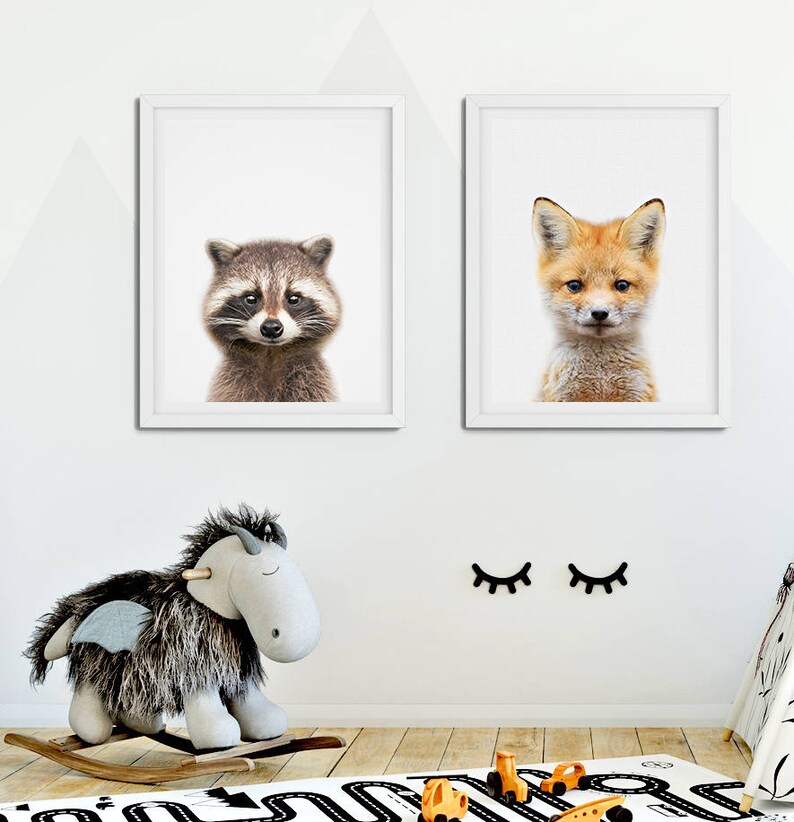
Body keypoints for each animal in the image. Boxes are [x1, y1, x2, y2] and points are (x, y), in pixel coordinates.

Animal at [203, 235, 342, 402]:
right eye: (251, 298)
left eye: (293, 298)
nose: (271, 328)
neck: (270, 354)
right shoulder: (233, 385)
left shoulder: (311, 383)